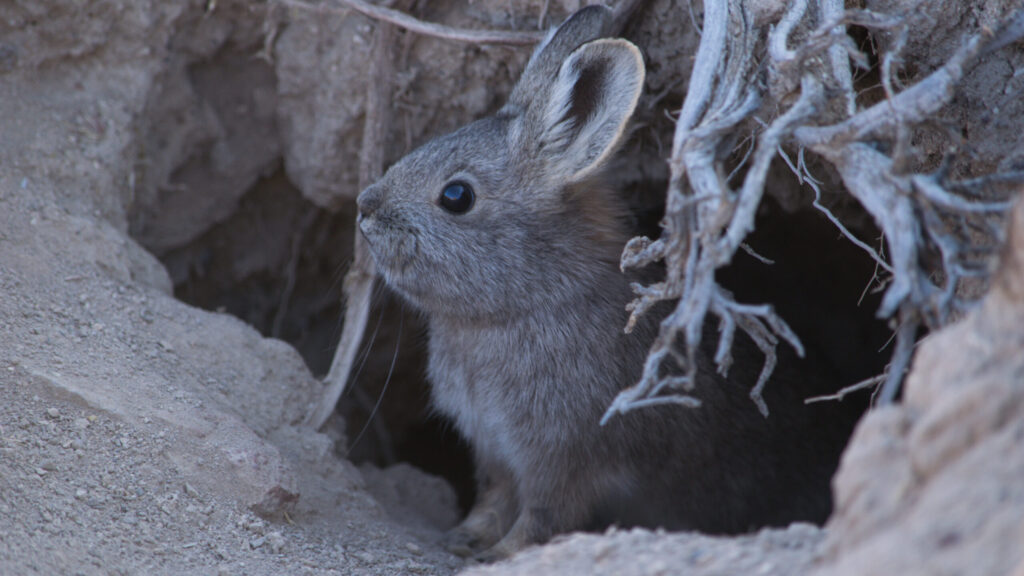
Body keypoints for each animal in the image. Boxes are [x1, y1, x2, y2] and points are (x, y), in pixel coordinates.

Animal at [356, 5, 856, 561]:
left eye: (457, 196)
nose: (365, 208)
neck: (529, 299)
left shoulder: (564, 455)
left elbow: (543, 514)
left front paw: (501, 554)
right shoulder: (495, 451)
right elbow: (493, 499)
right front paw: (463, 539)